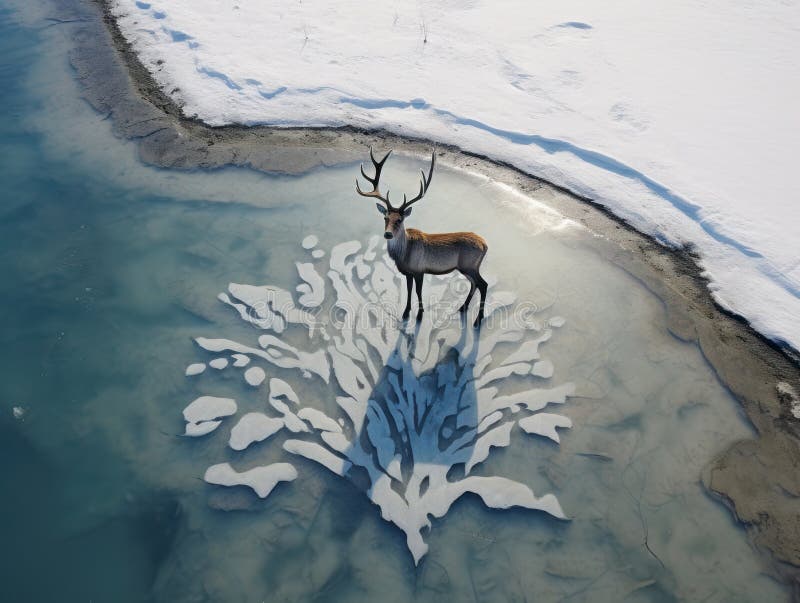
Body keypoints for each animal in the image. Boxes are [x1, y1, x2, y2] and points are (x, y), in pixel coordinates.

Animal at [356, 147, 489, 327]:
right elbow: (409, 290)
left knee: (483, 284)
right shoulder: (408, 273)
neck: (404, 255)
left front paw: (419, 315)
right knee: (474, 283)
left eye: (400, 220)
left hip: (469, 264)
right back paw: (463, 308)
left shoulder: (419, 270)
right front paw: (406, 313)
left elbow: (418, 292)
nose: (387, 234)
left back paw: (478, 319)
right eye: (385, 218)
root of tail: (485, 244)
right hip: (467, 266)